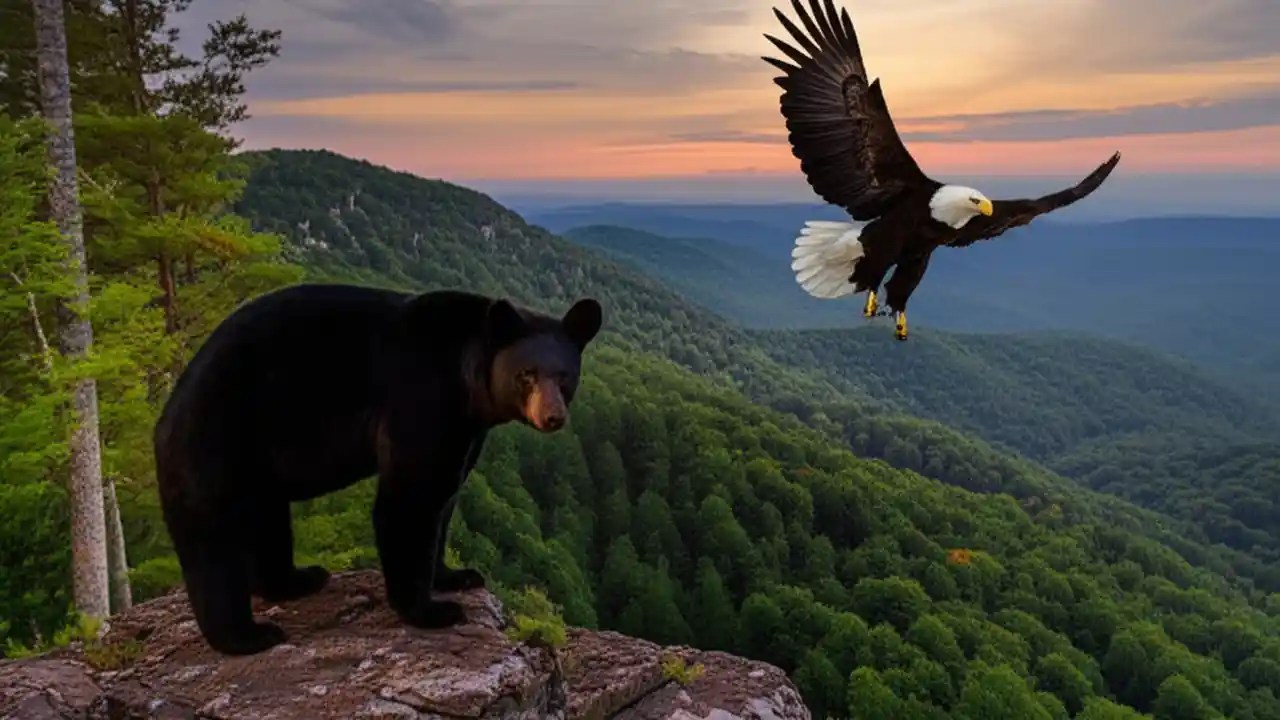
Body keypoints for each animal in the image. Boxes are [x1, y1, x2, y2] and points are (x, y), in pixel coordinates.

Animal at [153, 283, 603, 655]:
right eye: (527, 375)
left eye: (565, 376)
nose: (553, 417)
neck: (469, 380)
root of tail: (165, 416)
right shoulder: (422, 397)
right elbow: (411, 498)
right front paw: (430, 611)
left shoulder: (467, 430)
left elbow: (446, 499)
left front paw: (455, 575)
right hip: (218, 446)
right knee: (214, 545)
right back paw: (246, 635)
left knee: (268, 522)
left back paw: (298, 580)